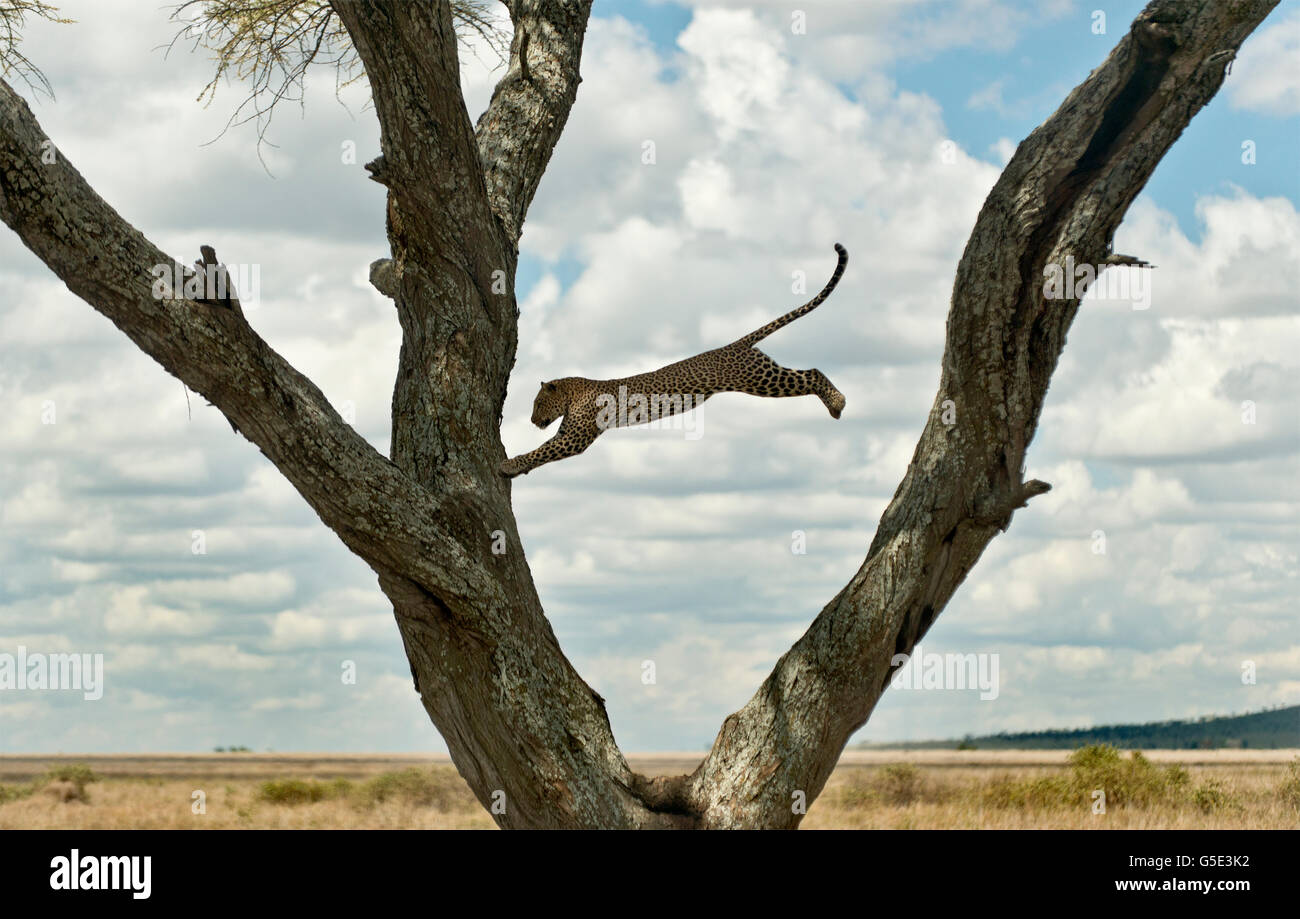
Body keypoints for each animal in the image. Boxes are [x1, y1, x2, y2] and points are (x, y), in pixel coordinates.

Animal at [501, 243, 848, 477]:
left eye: (537, 403)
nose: (532, 420)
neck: (574, 392)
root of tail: (735, 344)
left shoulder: (573, 438)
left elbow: (540, 451)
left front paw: (508, 465)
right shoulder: (567, 434)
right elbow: (543, 451)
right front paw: (516, 466)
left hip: (759, 378)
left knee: (813, 373)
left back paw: (838, 402)